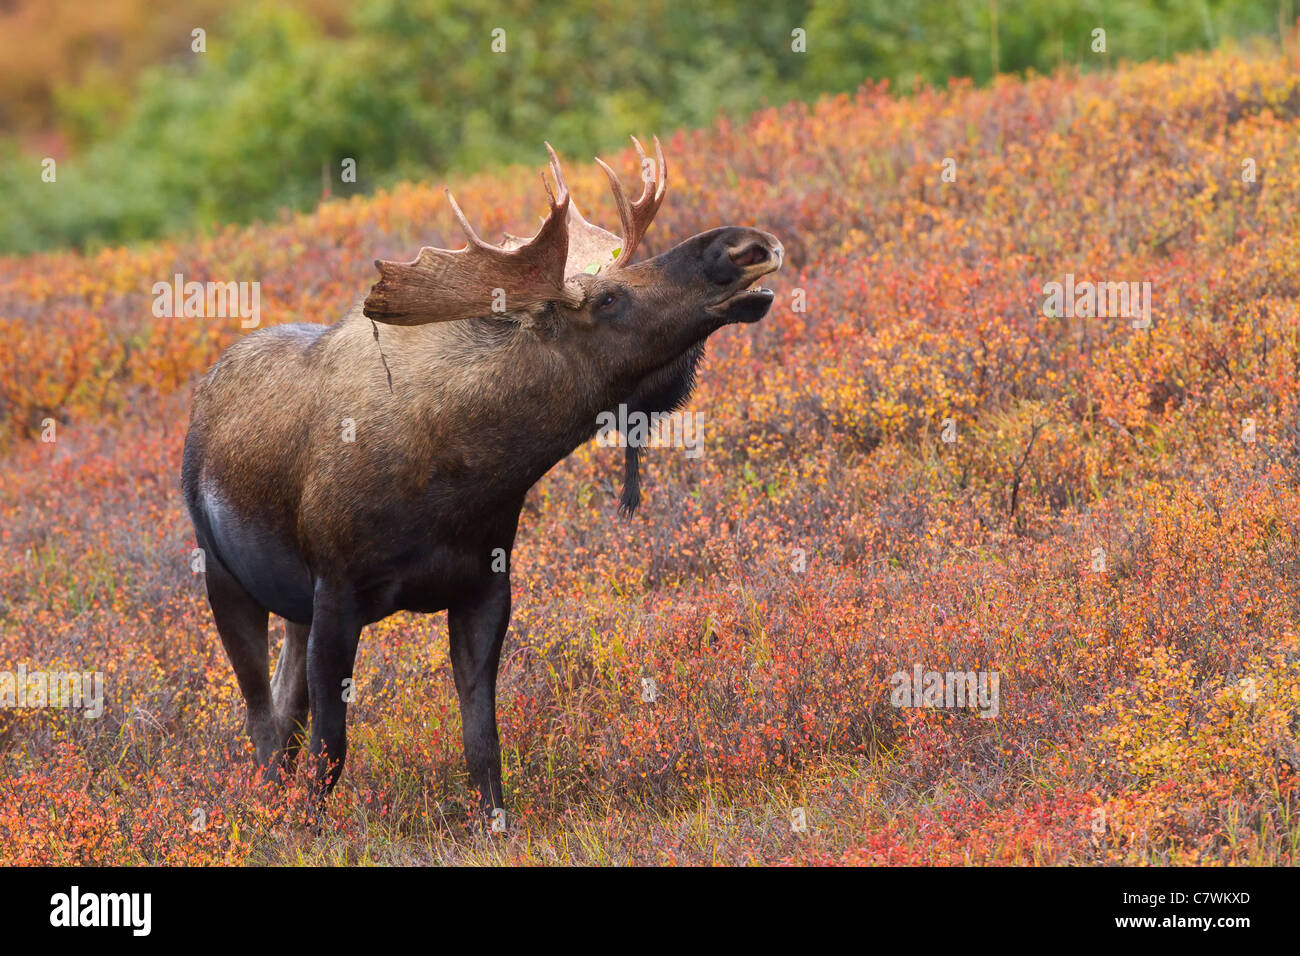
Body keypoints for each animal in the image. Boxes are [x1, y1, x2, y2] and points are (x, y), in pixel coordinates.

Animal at [181, 137, 783, 817]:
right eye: (608, 299)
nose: (743, 247)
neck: (469, 482)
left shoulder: (484, 586)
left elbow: (483, 746)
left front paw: (492, 823)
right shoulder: (336, 591)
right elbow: (330, 749)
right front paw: (308, 825)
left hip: (291, 606)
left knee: (283, 713)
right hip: (224, 576)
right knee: (262, 721)